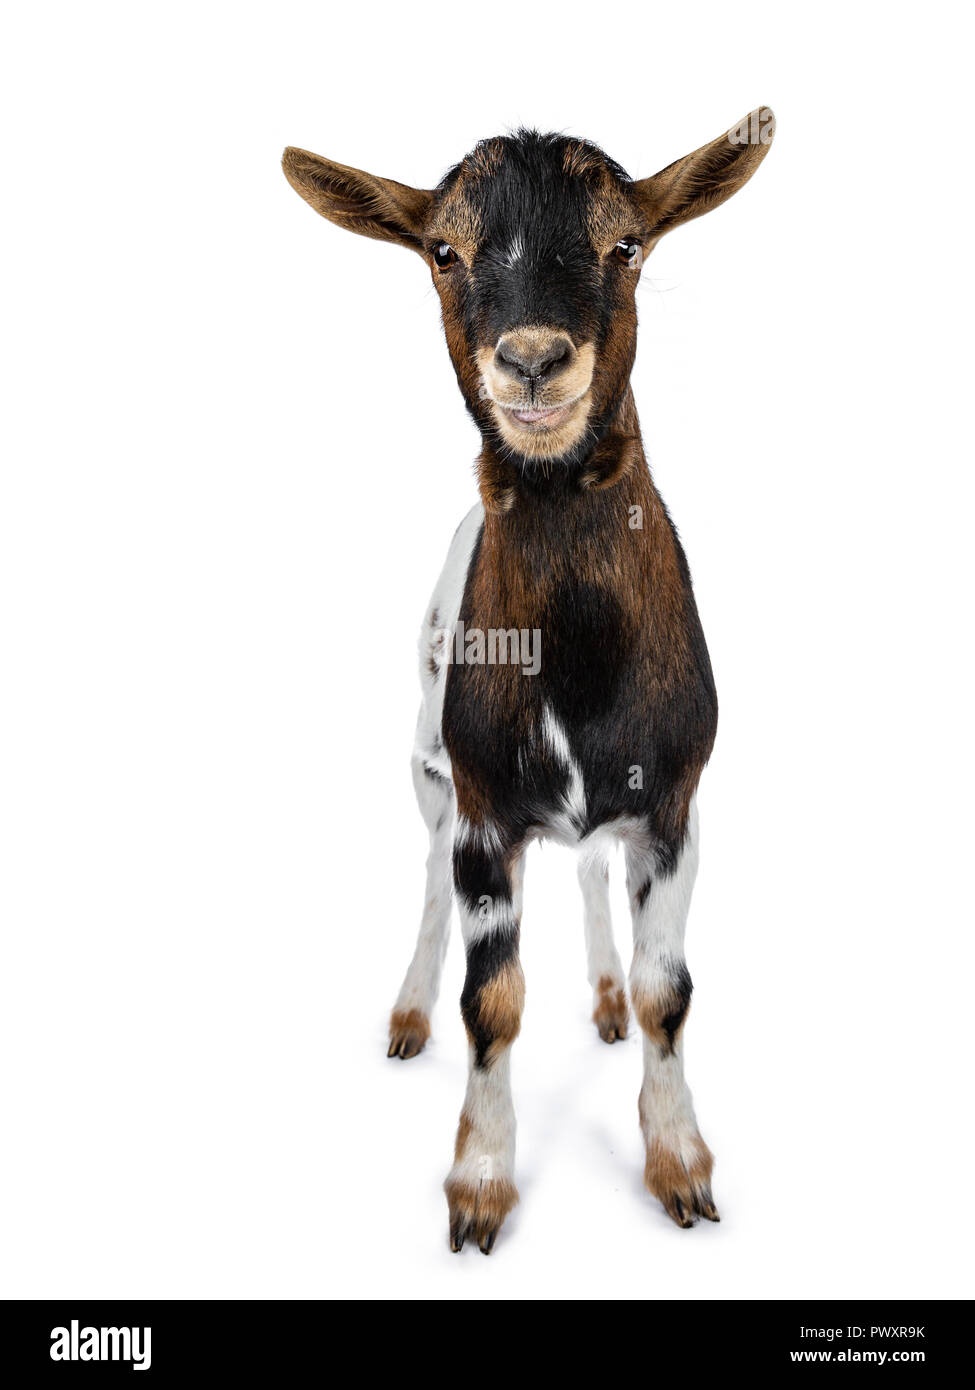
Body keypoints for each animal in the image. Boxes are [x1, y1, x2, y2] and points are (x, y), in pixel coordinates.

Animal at [283, 109, 774, 1252]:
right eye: (442, 251)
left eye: (626, 242)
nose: (536, 361)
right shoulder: (481, 813)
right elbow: (491, 1002)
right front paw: (478, 1187)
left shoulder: (674, 803)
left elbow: (666, 989)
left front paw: (680, 1166)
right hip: (427, 767)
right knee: (425, 880)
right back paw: (406, 1017)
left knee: (591, 873)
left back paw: (599, 999)